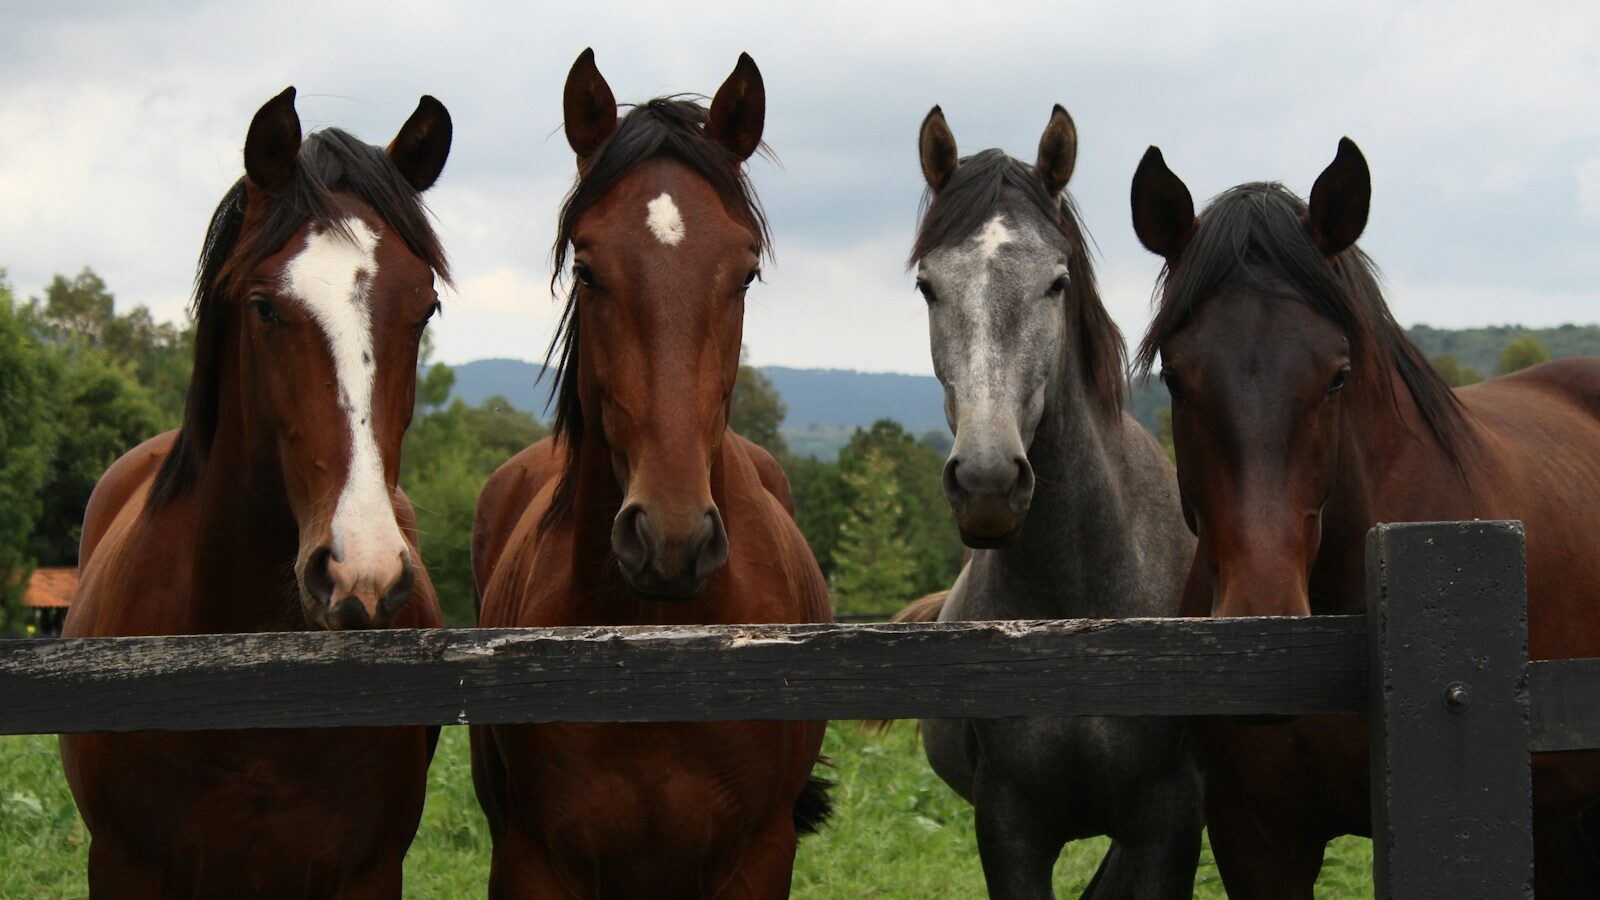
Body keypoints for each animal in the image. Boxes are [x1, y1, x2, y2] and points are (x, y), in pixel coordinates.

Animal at [58, 87, 453, 897]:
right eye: (266, 307)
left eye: (424, 307)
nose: (361, 571)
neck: (250, 677)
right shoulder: (121, 865)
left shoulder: (370, 872)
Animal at [469, 49, 831, 899]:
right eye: (587, 268)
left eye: (746, 272)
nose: (670, 538)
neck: (657, 659)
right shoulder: (531, 860)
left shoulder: (760, 857)